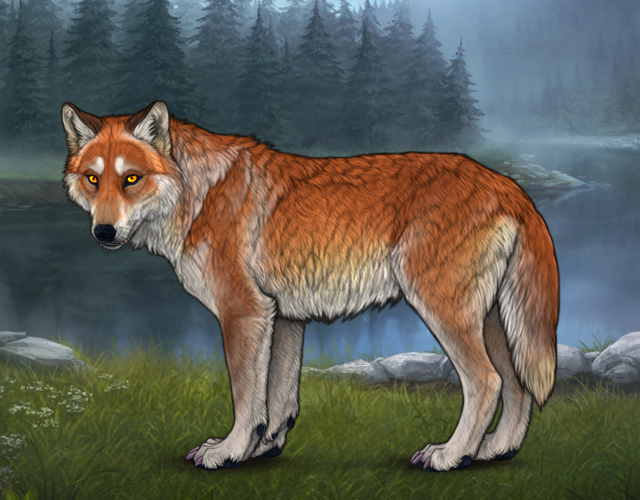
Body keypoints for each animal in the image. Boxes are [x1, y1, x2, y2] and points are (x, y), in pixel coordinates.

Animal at [61, 101, 559, 472]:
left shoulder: (244, 313)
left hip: (445, 313)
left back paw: (451, 456)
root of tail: (508, 184)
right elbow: (277, 401)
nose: (103, 232)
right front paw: (262, 449)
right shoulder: (283, 318)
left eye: (131, 178)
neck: (199, 193)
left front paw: (228, 452)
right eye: (93, 179)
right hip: (492, 323)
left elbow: (246, 397)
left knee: (487, 382)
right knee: (517, 387)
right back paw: (495, 451)